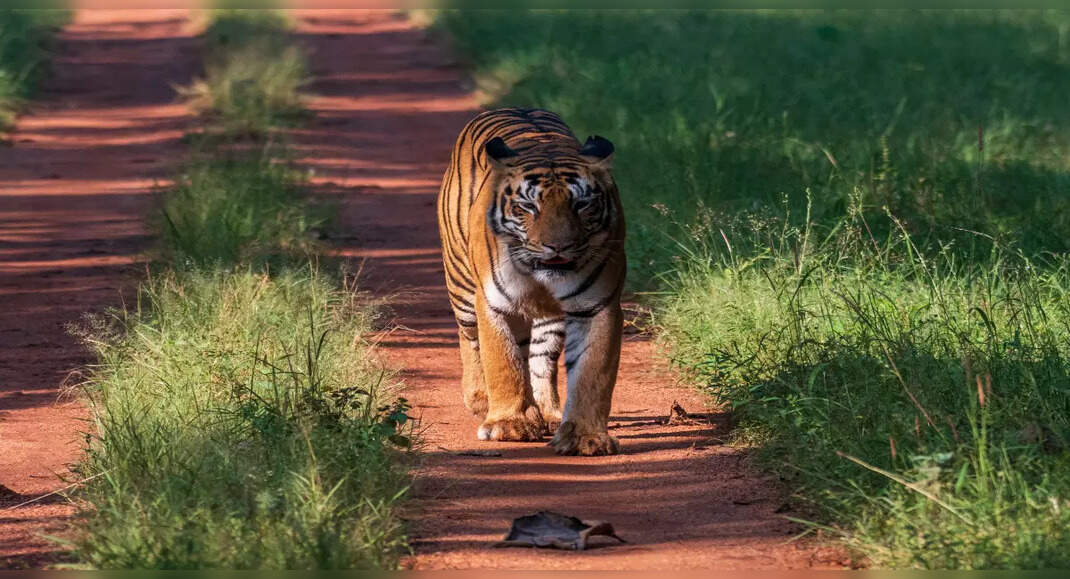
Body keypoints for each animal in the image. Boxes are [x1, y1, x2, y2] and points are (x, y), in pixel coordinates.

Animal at [436, 107, 625, 456]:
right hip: (462, 288)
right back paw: (481, 400)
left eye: (582, 204)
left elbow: (593, 372)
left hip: (548, 318)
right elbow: (502, 361)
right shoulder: (494, 303)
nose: (558, 246)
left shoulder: (596, 305)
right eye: (527, 206)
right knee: (469, 338)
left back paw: (548, 414)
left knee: (540, 358)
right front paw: (508, 424)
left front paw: (585, 437)